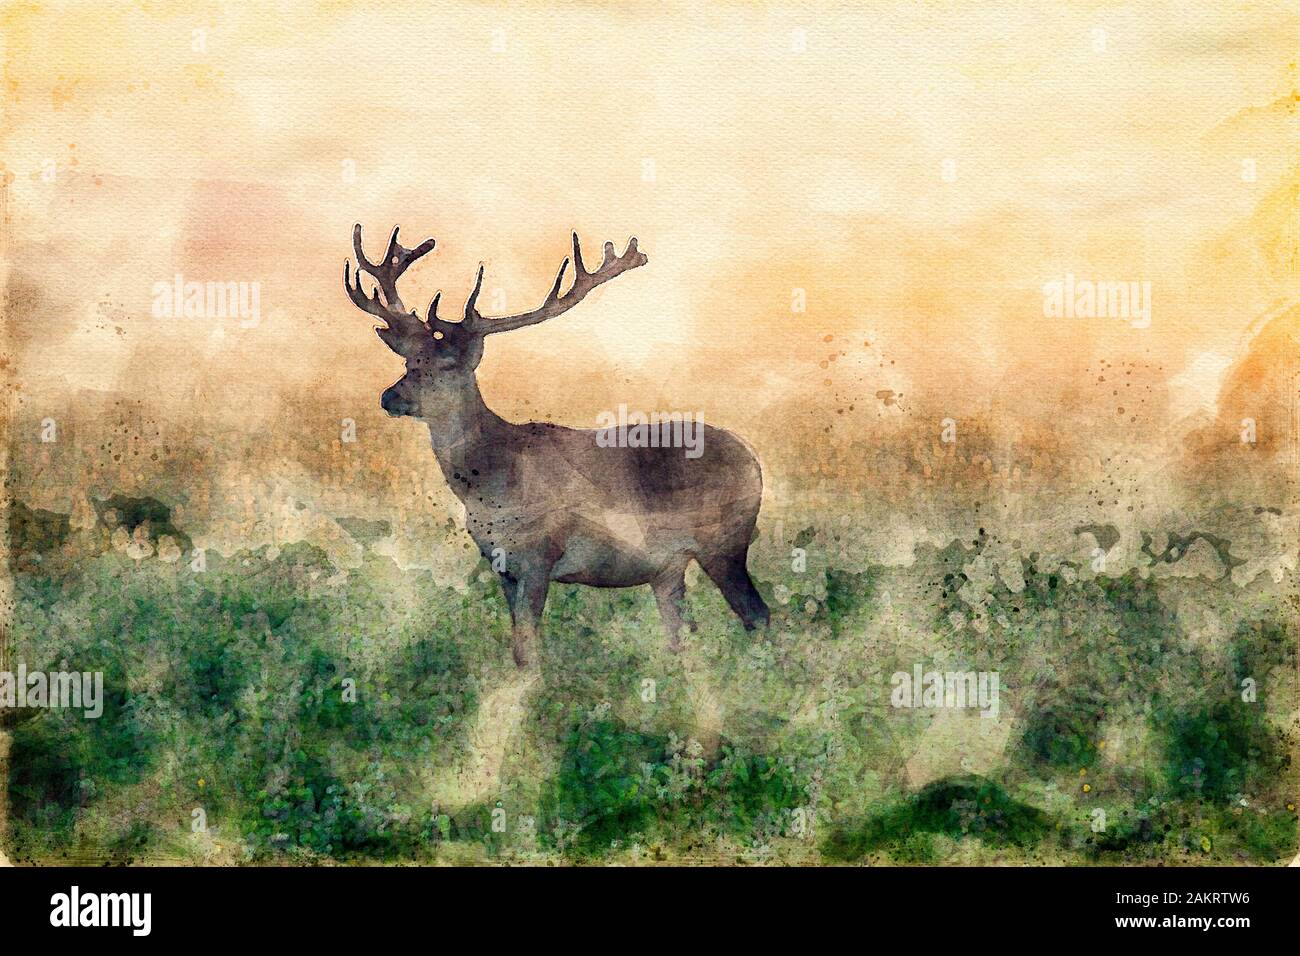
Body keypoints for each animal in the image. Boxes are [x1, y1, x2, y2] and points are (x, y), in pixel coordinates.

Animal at [344, 224, 769, 668]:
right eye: (409, 362)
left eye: (446, 364)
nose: (389, 397)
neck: (490, 483)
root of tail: (755, 459)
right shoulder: (500, 564)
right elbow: (519, 647)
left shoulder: (539, 555)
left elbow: (529, 648)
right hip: (668, 567)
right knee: (682, 631)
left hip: (724, 541)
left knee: (756, 613)